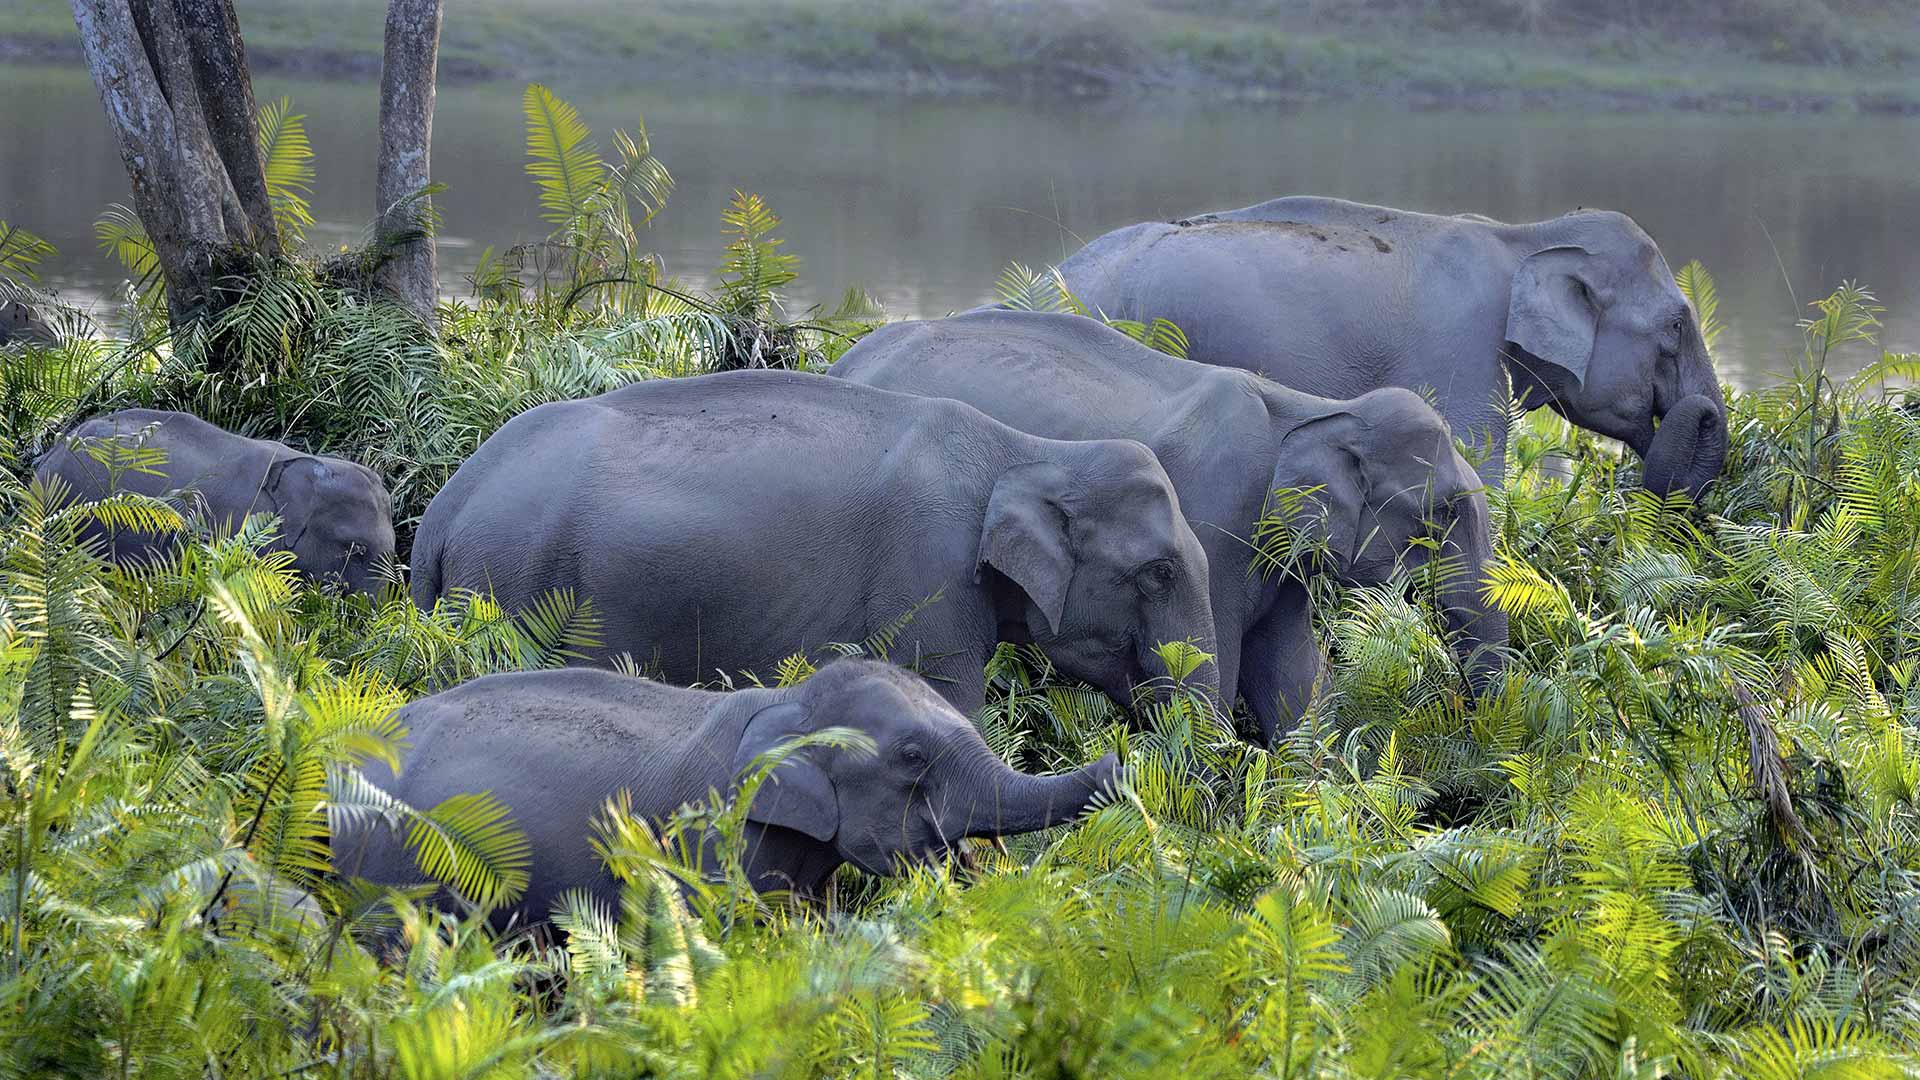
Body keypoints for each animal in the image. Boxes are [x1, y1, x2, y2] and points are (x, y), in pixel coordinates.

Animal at [410, 370, 1220, 714]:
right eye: (1156, 573)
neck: (1027, 448)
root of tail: (445, 509)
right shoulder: (925, 572)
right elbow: (947, 697)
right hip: (511, 581)